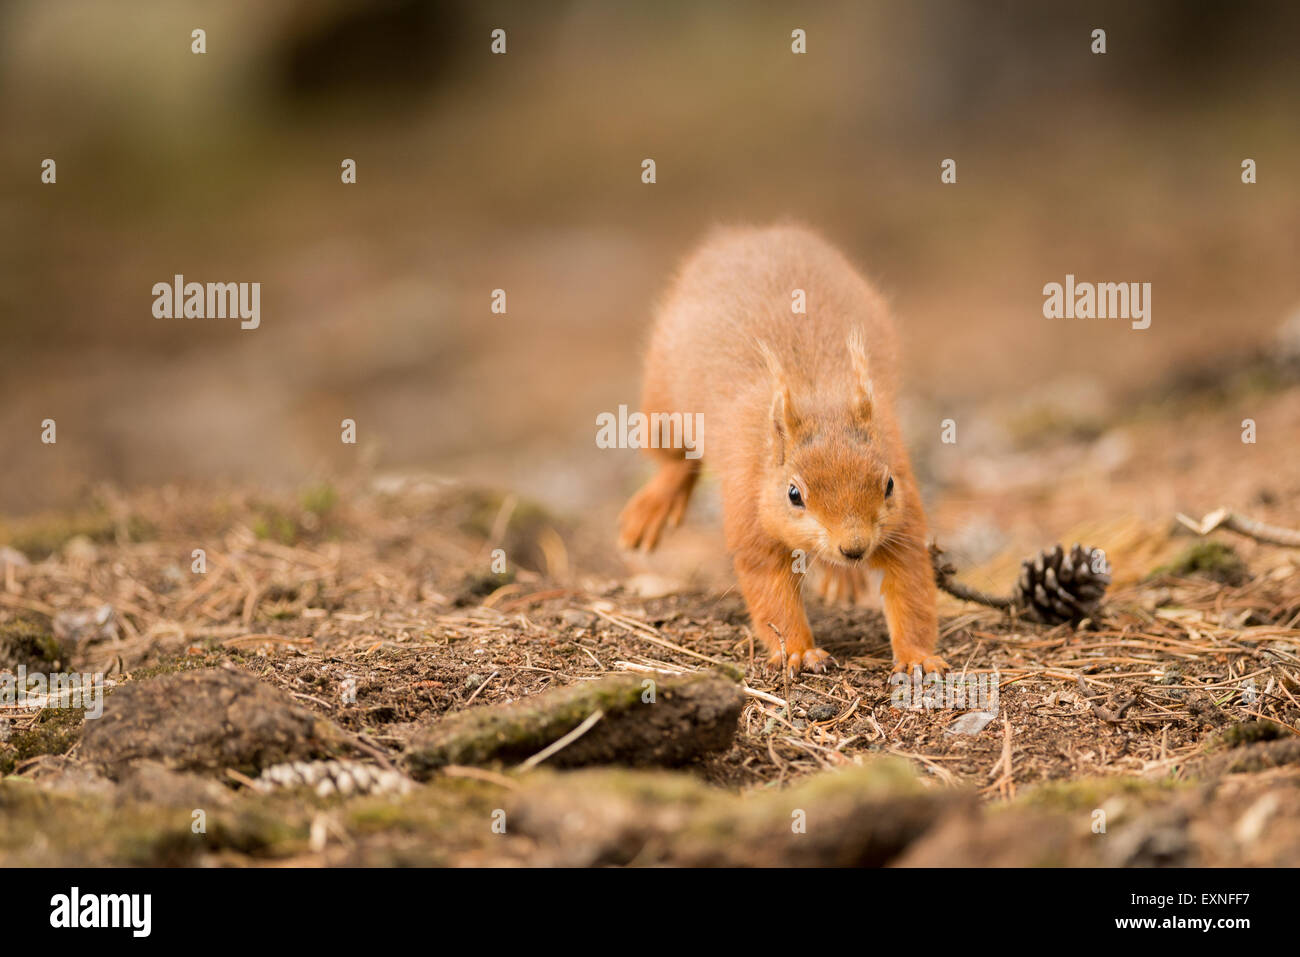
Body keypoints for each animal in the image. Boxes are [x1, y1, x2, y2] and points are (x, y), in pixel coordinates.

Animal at [618, 225, 949, 676]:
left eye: (889, 485)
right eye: (793, 494)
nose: (855, 548)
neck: (821, 398)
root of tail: (751, 235)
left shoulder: (903, 513)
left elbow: (911, 582)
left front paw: (918, 657)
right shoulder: (749, 503)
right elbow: (770, 586)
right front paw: (798, 651)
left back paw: (841, 577)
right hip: (662, 398)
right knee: (674, 461)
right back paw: (652, 508)